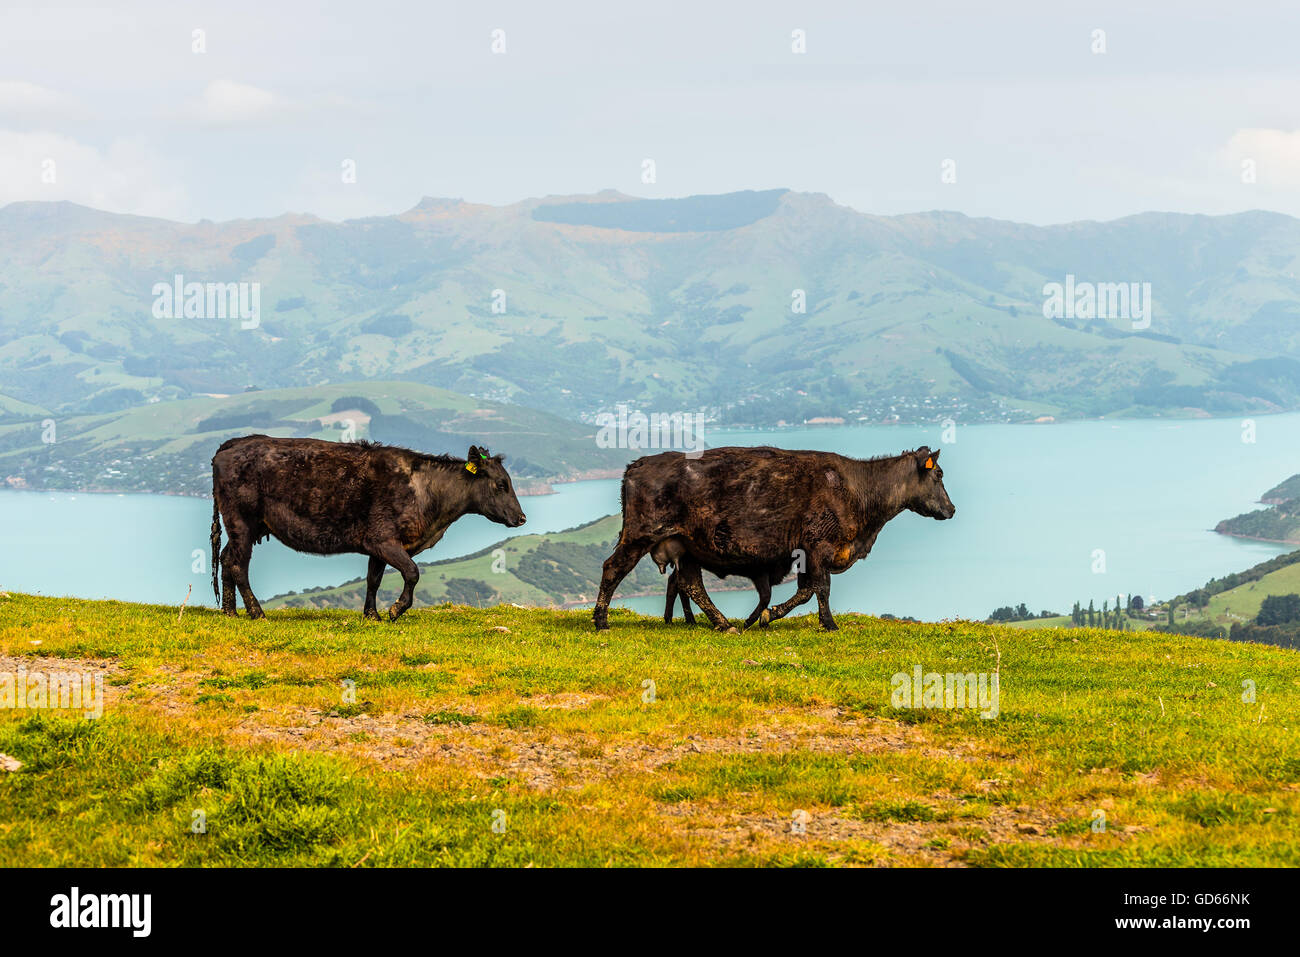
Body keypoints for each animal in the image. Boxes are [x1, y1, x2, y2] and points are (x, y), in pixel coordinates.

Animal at [210, 436, 526, 620]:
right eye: (501, 484)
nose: (522, 518)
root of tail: (231, 444)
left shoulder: (377, 545)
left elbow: (373, 579)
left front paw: (371, 615)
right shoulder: (383, 540)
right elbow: (412, 572)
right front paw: (395, 610)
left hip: (245, 526)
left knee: (226, 558)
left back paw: (229, 612)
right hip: (242, 521)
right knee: (238, 565)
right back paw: (256, 612)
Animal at [593, 445, 955, 632]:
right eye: (938, 474)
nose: (951, 509)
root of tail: (639, 463)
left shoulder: (807, 553)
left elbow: (807, 590)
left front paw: (765, 616)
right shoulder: (818, 546)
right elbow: (820, 588)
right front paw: (828, 623)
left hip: (685, 546)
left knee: (690, 583)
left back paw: (722, 623)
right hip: (640, 534)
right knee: (613, 569)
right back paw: (601, 621)